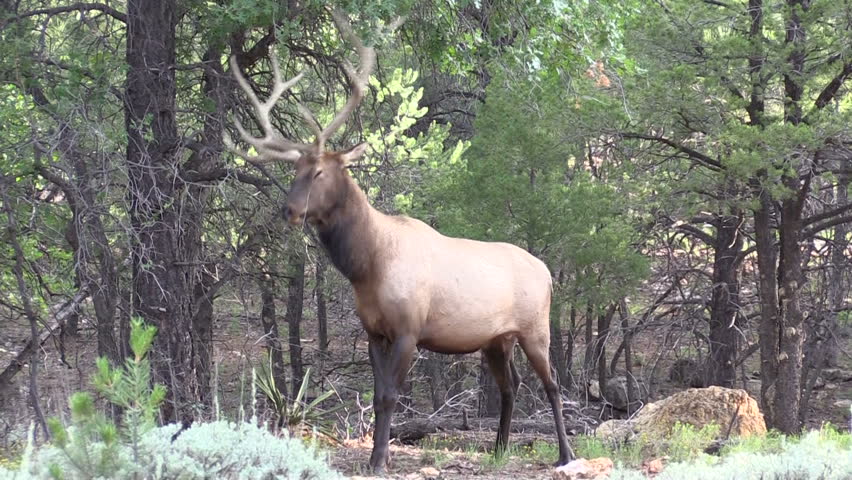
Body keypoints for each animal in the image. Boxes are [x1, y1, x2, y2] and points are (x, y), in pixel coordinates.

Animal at [226, 9, 574, 474]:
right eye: (294, 170)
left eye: (320, 171)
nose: (290, 210)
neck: (368, 266)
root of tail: (548, 272)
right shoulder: (374, 331)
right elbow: (377, 396)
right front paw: (377, 455)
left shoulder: (409, 328)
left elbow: (391, 395)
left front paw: (379, 461)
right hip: (496, 339)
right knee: (511, 384)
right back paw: (499, 448)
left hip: (536, 327)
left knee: (552, 385)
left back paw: (565, 454)